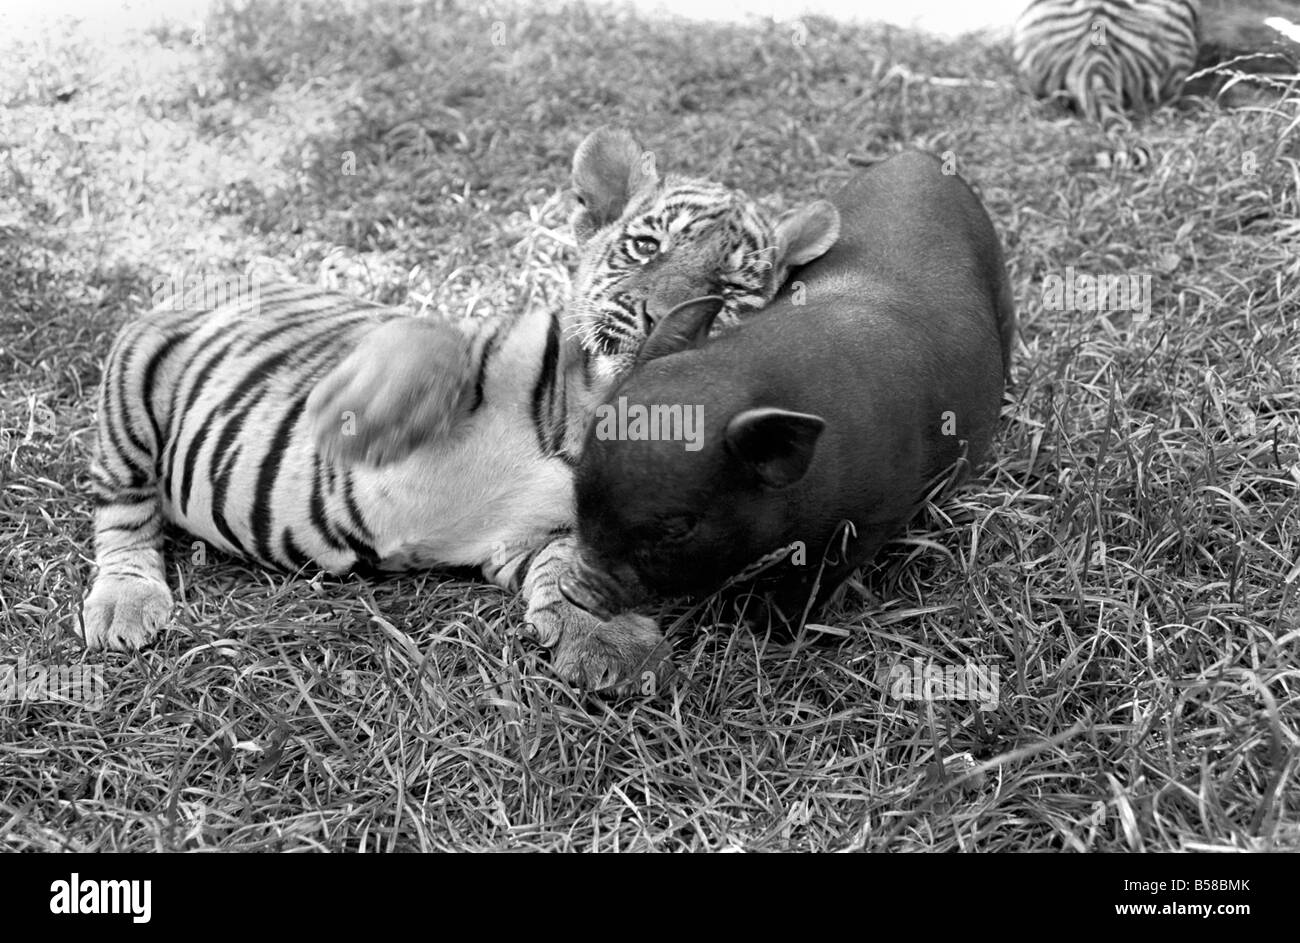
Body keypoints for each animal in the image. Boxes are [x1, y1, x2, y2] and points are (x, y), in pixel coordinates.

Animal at [79, 127, 840, 691]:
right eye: (645, 246)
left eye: (733, 290)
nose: (663, 318)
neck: (593, 412)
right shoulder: (467, 344)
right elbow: (431, 337)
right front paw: (370, 404)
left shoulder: (528, 535)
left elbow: (570, 566)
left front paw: (609, 641)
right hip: (135, 377)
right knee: (123, 515)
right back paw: (125, 602)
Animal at [559, 151, 1016, 663]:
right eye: (579, 483)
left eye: (677, 527)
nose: (574, 589)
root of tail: (922, 156)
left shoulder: (875, 516)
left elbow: (814, 581)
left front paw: (766, 633)